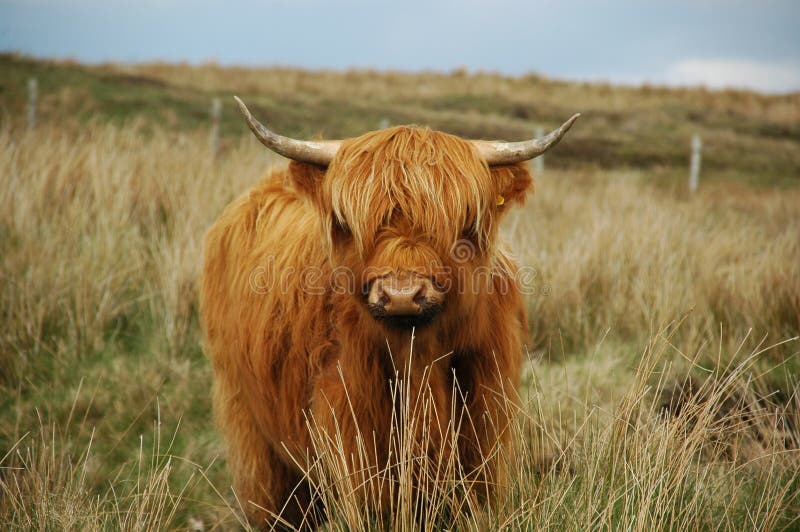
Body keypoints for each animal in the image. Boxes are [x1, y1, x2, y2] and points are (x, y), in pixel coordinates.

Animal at [200, 97, 578, 528]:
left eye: (462, 223)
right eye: (348, 223)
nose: (402, 295)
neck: (418, 360)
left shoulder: (481, 437)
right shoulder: (354, 442)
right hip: (252, 428)